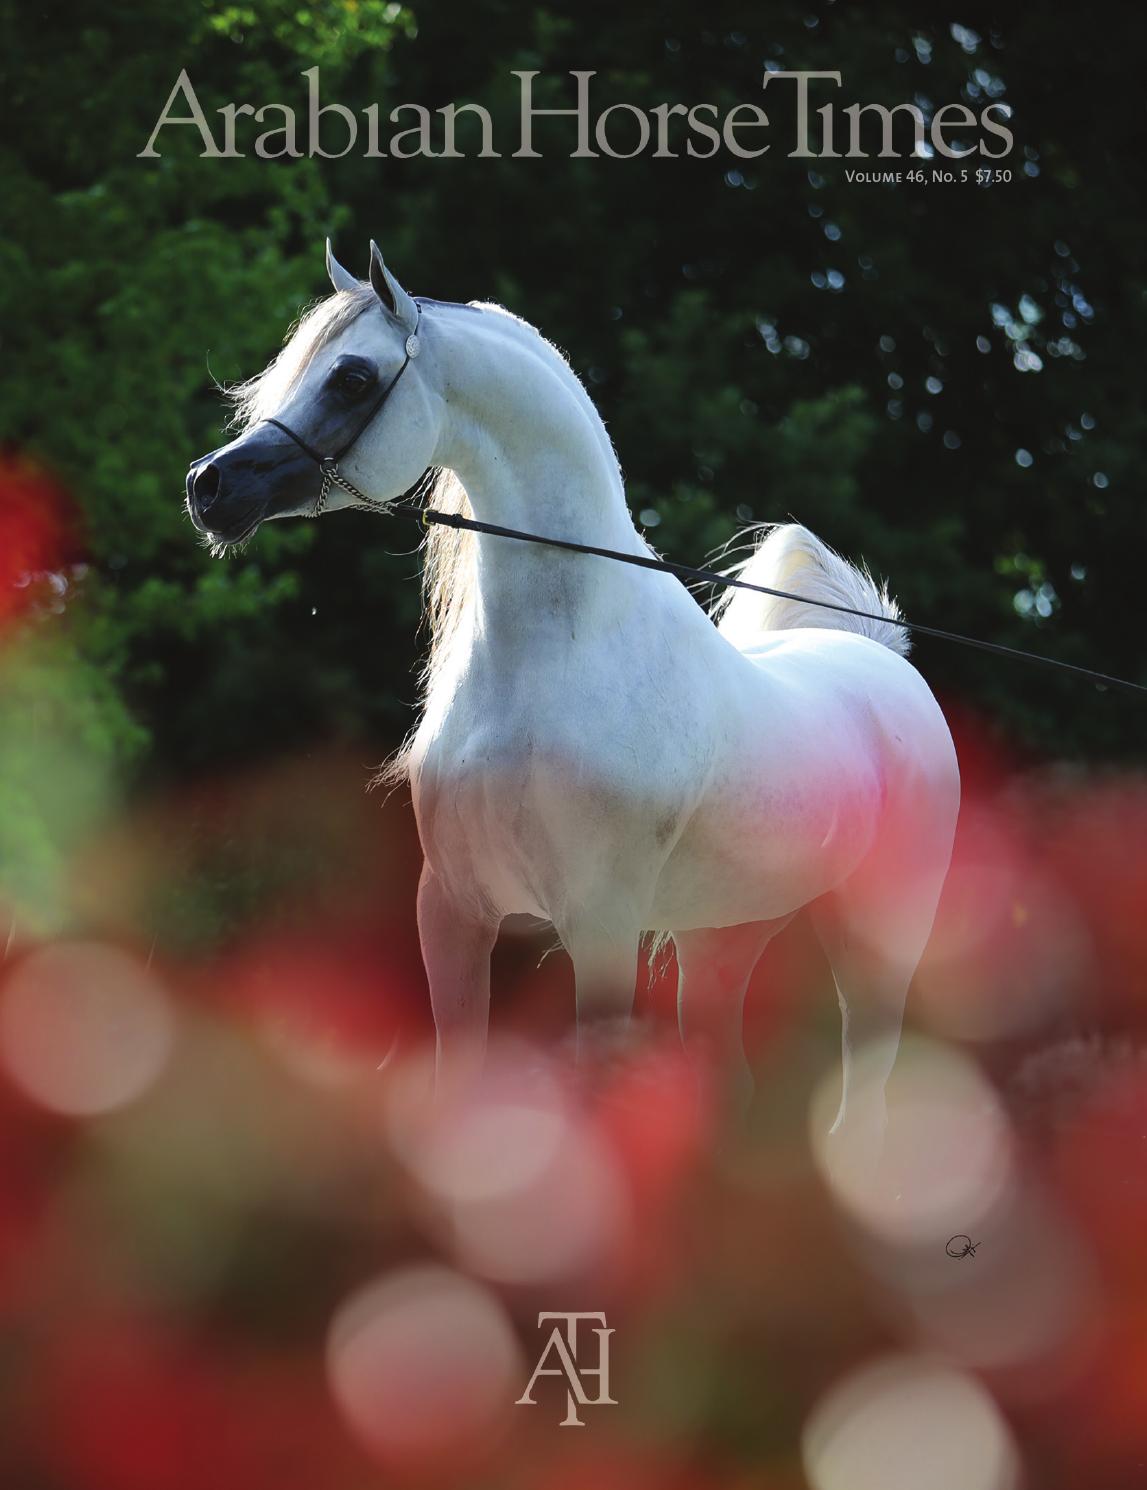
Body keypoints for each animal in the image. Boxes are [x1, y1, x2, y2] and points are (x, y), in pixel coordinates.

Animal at [186, 239, 960, 1151]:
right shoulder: (452, 913)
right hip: (723, 933)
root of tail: (879, 655)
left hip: (880, 942)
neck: (552, 660)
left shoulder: (599, 928)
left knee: (862, 1103)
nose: (210, 487)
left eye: (349, 377)